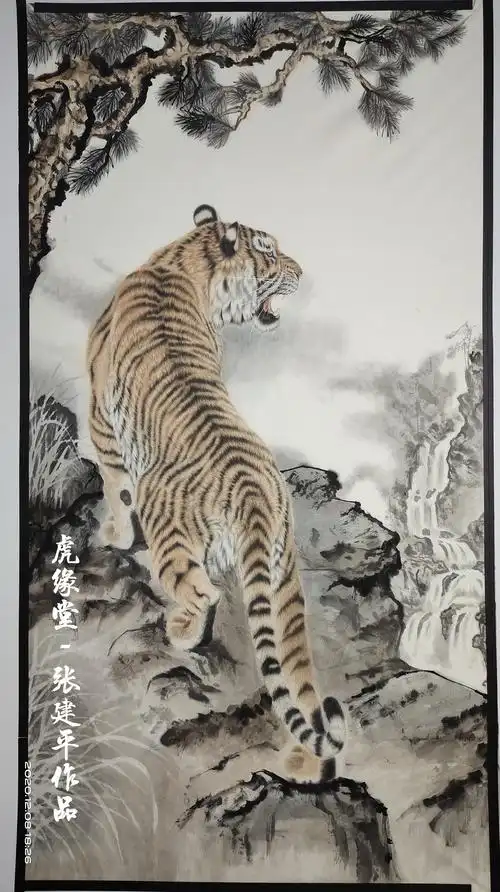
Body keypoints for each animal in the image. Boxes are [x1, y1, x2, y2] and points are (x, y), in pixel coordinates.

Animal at [86, 204, 347, 782]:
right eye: (270, 251)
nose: (300, 270)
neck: (181, 261)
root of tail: (255, 496)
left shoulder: (100, 418)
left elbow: (116, 486)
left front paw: (113, 535)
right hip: (283, 584)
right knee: (301, 684)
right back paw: (305, 764)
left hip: (173, 535)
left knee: (200, 591)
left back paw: (182, 632)